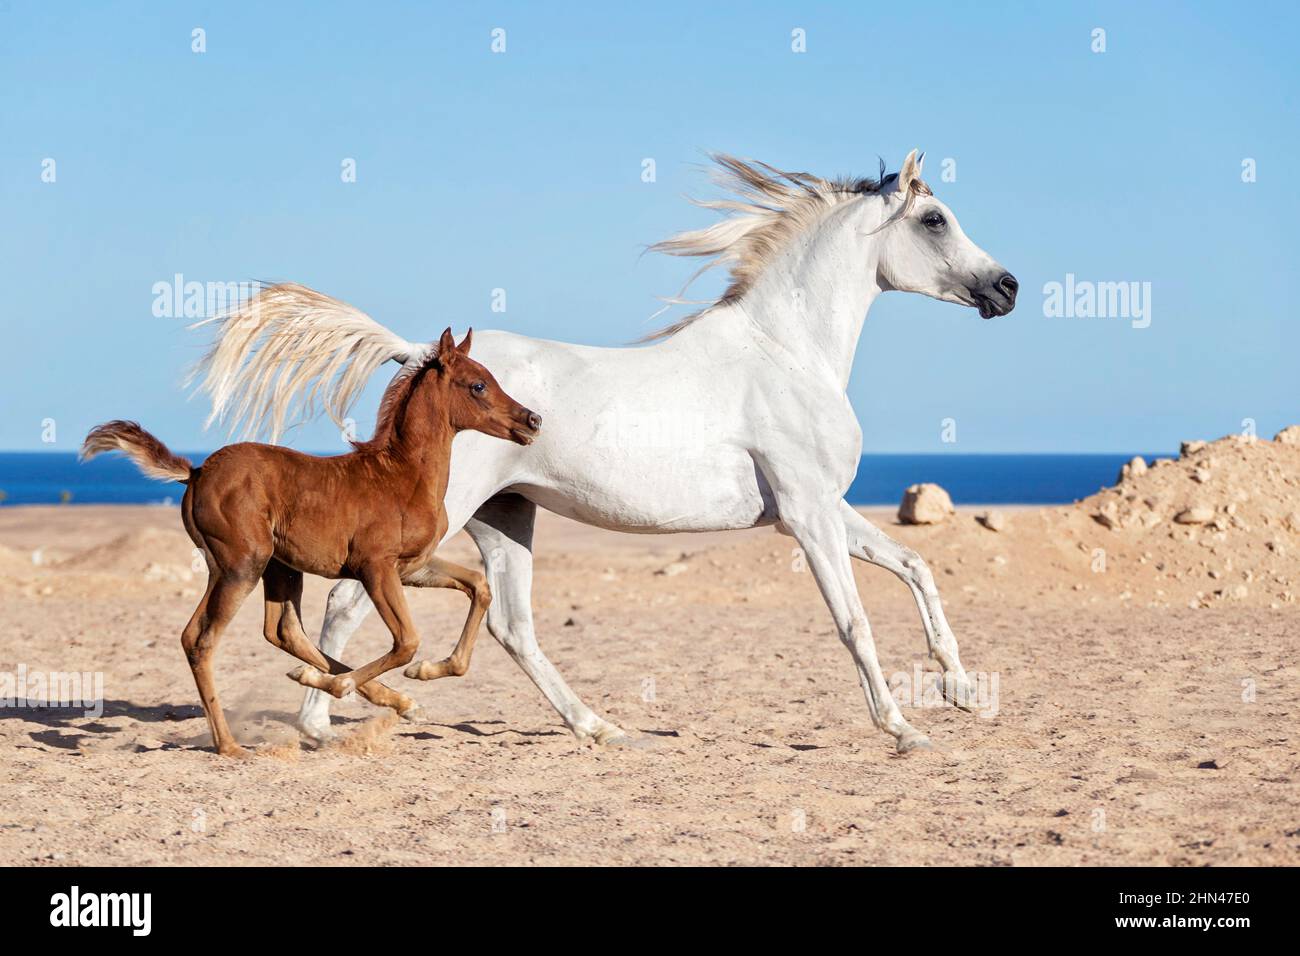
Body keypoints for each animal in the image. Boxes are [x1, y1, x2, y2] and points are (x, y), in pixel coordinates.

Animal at [81, 328, 541, 757]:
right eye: (478, 384)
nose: (532, 420)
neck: (403, 475)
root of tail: (195, 473)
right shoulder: (376, 568)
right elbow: (407, 640)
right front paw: (351, 686)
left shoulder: (411, 567)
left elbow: (479, 587)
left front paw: (424, 675)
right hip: (242, 565)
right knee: (204, 639)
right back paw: (230, 743)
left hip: (271, 567)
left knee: (279, 631)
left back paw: (368, 692)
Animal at [192, 150, 1017, 753]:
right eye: (935, 218)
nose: (1006, 287)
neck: (786, 352)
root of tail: (425, 356)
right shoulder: (807, 515)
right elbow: (855, 621)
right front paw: (903, 729)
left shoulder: (819, 507)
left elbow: (916, 566)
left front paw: (961, 691)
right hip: (437, 521)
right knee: (348, 605)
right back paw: (324, 720)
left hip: (505, 516)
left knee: (512, 625)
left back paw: (595, 726)